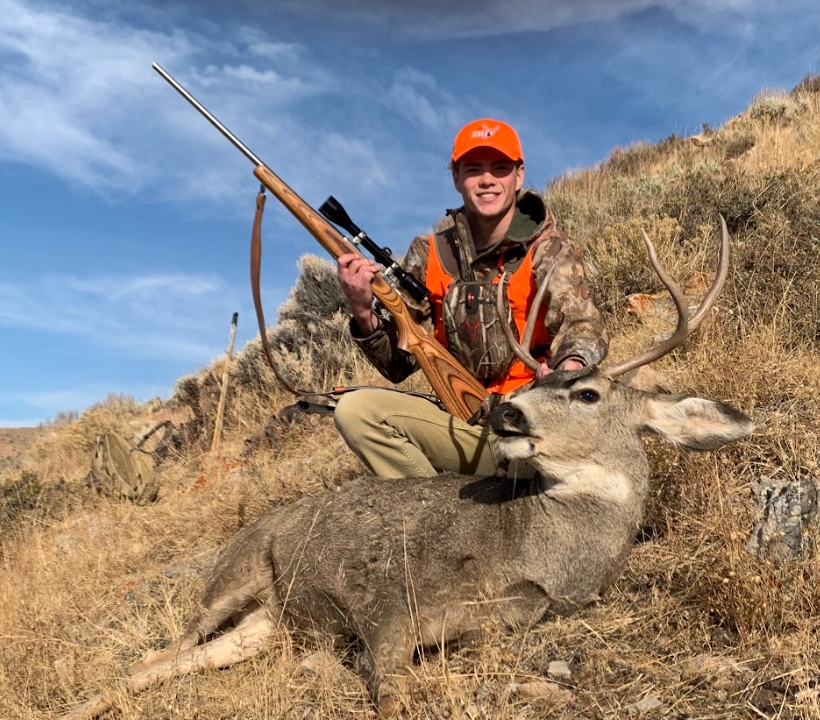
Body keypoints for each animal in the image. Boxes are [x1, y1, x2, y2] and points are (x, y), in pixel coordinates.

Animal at [59, 219, 753, 720]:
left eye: (587, 394)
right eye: (540, 384)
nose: (506, 413)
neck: (537, 547)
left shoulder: (518, 607)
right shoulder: (391, 600)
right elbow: (389, 689)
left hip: (264, 623)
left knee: (179, 662)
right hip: (233, 575)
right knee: (156, 655)